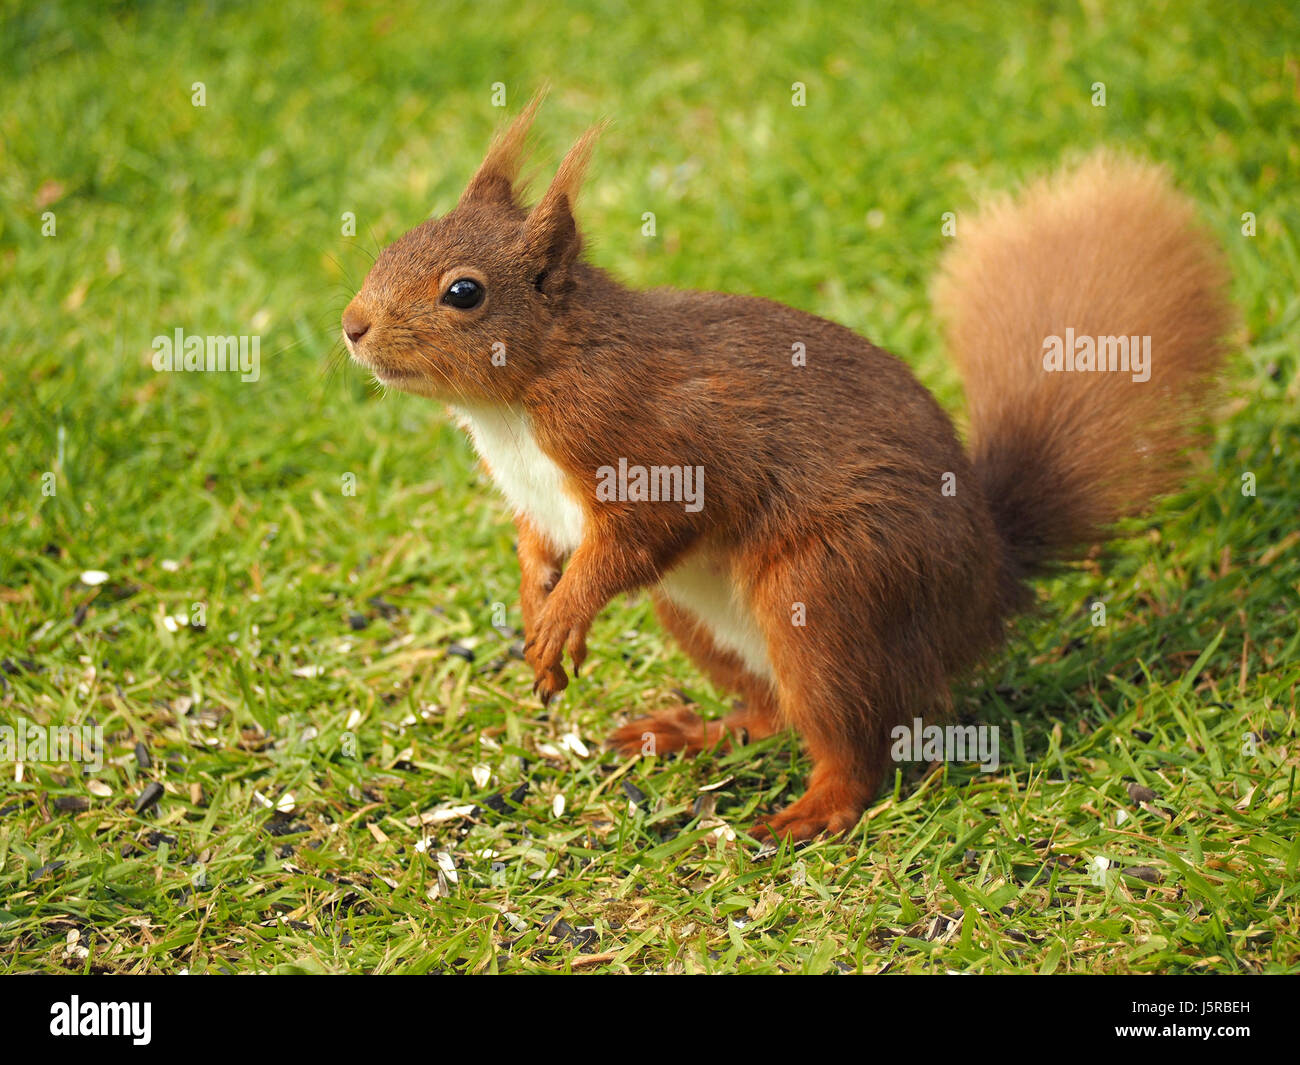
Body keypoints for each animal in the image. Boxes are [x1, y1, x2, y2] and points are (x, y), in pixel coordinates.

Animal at [342, 96, 1232, 841]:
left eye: (465, 292)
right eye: (390, 245)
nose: (352, 325)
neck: (521, 397)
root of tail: (991, 589)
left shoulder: (652, 446)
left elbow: (634, 540)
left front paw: (562, 618)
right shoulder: (539, 501)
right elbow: (538, 547)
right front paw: (537, 607)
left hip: (828, 588)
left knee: (855, 743)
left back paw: (811, 810)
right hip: (699, 616)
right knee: (778, 712)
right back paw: (693, 731)